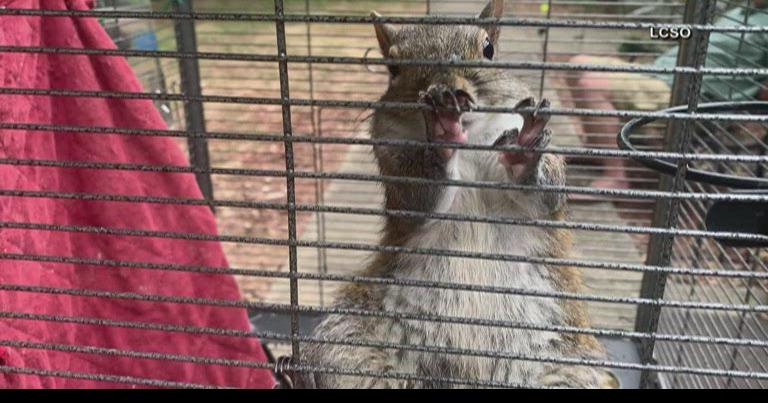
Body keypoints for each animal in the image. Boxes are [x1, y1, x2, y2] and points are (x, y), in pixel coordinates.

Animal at [291, 0, 617, 389]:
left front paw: (525, 149)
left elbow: (545, 196)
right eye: (393, 67)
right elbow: (419, 199)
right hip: (348, 340)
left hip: (573, 367)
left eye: (488, 48)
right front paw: (442, 132)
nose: (448, 92)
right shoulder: (394, 160)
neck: (471, 144)